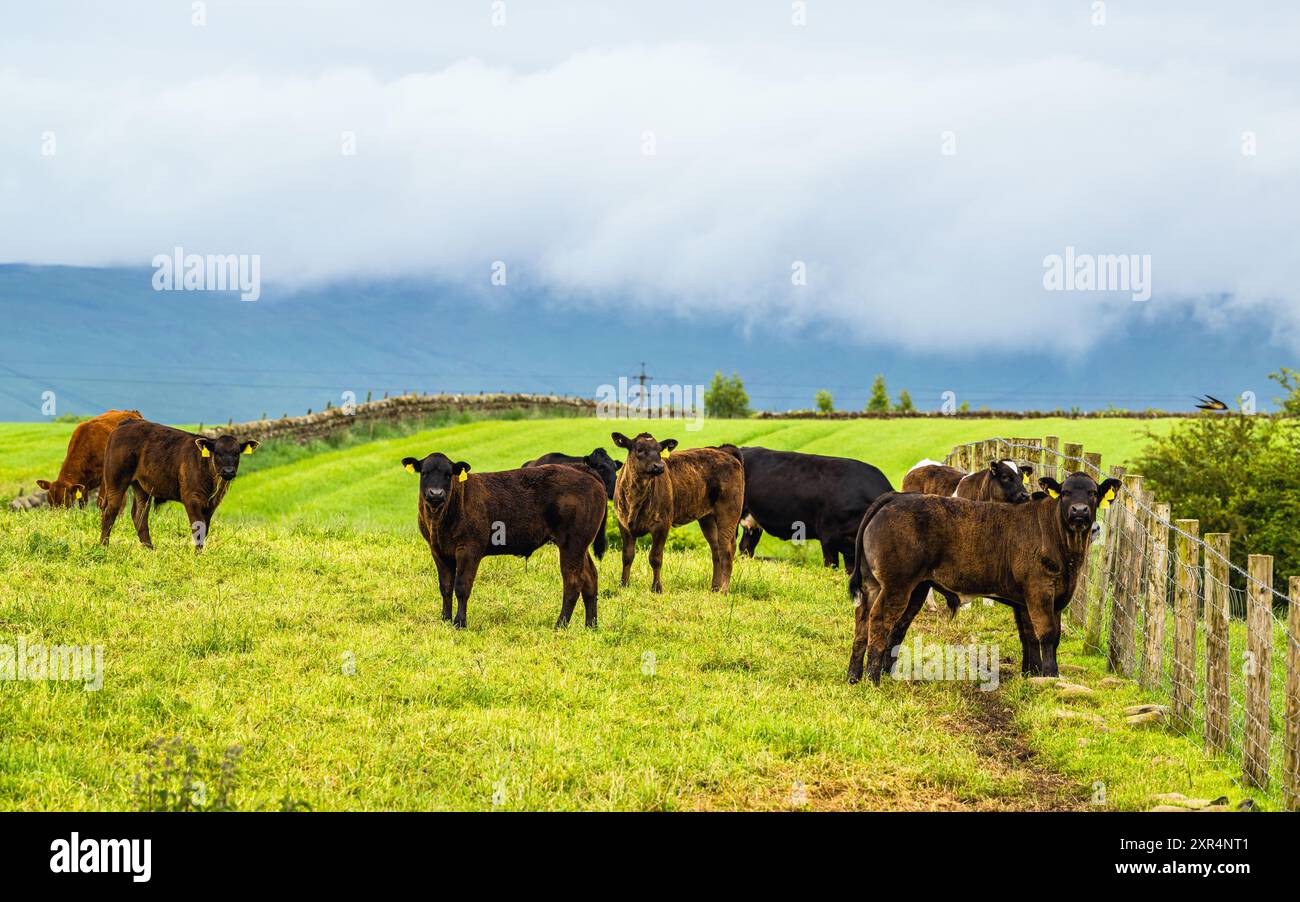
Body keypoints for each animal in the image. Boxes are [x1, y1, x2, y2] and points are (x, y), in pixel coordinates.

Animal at [99, 420, 259, 551]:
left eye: (237, 453)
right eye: (217, 452)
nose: (228, 471)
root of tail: (126, 423)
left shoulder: (212, 503)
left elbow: (205, 528)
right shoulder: (191, 498)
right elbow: (198, 527)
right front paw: (198, 555)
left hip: (142, 486)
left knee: (139, 515)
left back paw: (149, 548)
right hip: (116, 479)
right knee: (110, 511)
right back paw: (103, 546)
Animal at [402, 453, 606, 629]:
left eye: (448, 474)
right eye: (425, 473)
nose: (435, 494)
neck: (439, 520)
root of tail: (581, 469)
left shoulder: (469, 549)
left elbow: (461, 587)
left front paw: (460, 623)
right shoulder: (438, 551)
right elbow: (445, 587)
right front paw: (445, 619)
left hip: (571, 543)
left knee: (573, 582)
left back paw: (560, 625)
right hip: (579, 545)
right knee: (590, 577)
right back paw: (591, 625)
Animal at [611, 432, 744, 593]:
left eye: (659, 451)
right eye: (639, 450)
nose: (659, 466)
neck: (636, 497)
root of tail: (723, 451)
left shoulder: (662, 524)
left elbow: (655, 558)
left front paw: (657, 588)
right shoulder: (623, 524)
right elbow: (627, 556)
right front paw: (623, 584)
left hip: (728, 513)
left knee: (726, 551)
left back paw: (724, 590)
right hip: (708, 518)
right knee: (716, 549)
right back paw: (715, 587)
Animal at [846, 471, 1121, 685]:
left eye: (1093, 493)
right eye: (1065, 493)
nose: (1079, 511)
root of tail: (894, 497)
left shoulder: (1028, 599)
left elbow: (1029, 635)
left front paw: (1031, 674)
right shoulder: (1040, 590)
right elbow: (1048, 634)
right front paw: (1051, 677)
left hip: (894, 586)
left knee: (869, 620)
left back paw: (855, 676)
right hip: (897, 585)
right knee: (879, 619)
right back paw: (873, 679)